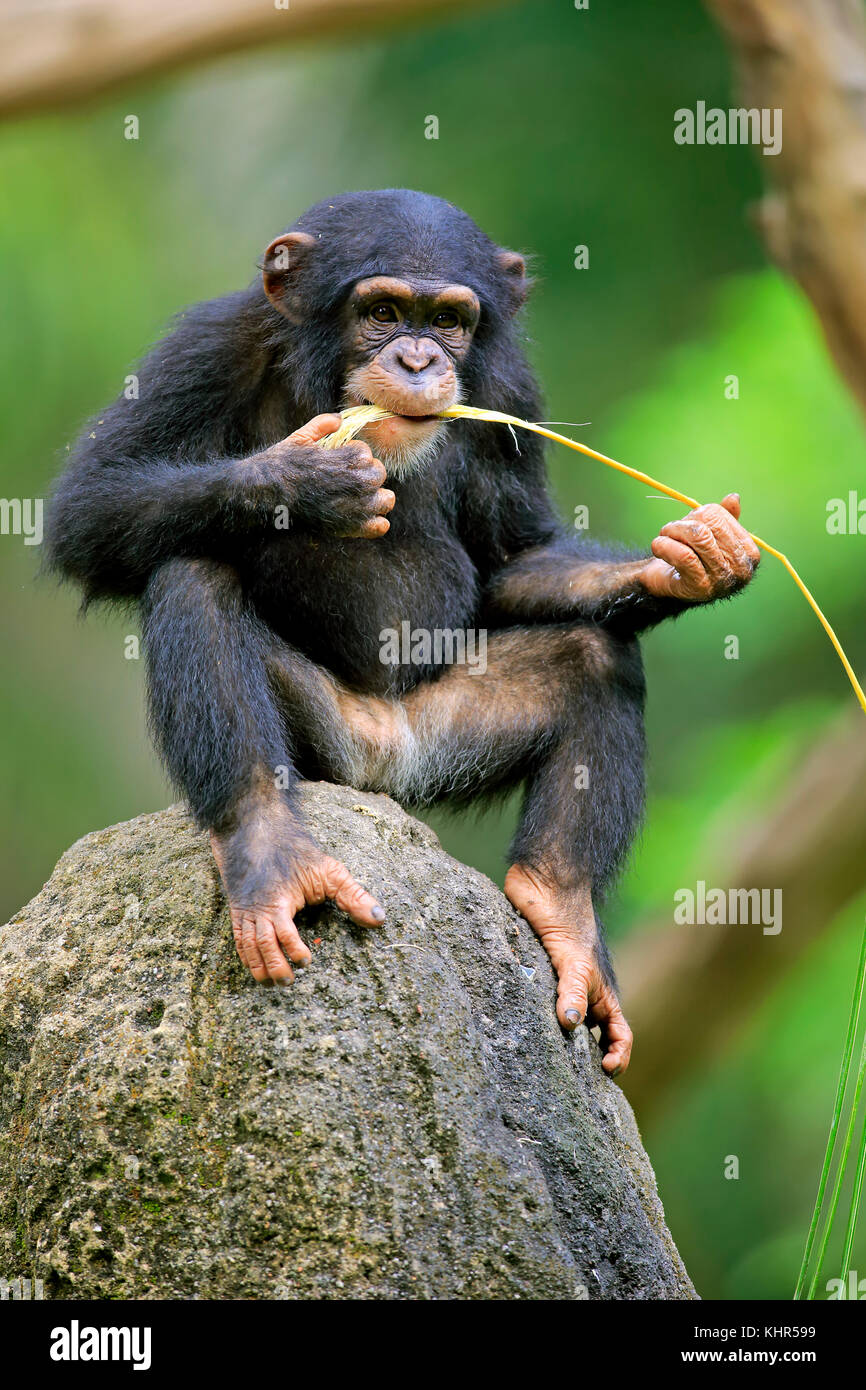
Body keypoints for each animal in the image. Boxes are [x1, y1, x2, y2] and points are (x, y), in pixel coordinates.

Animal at [46, 189, 760, 1077]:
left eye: (448, 321)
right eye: (382, 312)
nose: (419, 360)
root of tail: (381, 767)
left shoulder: (509, 389)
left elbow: (512, 557)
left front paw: (692, 558)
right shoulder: (205, 346)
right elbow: (88, 504)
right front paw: (309, 480)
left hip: (440, 742)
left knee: (596, 655)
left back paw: (563, 913)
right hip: (325, 742)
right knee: (191, 575)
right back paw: (270, 849)